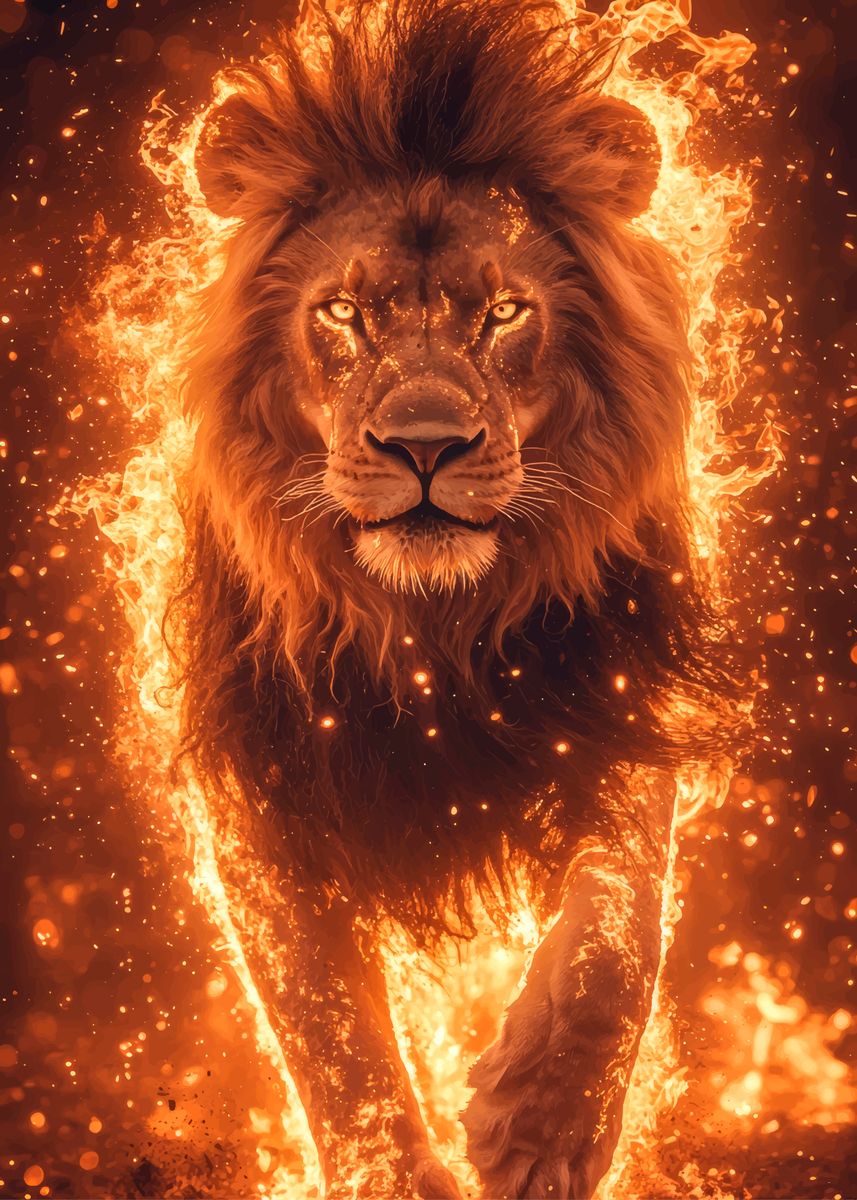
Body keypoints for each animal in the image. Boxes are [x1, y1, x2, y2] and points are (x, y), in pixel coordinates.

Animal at [175, 1, 739, 1195]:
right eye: (343, 311)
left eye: (503, 313)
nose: (426, 444)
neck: (429, 629)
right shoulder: (262, 789)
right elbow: (326, 1025)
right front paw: (393, 1171)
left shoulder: (618, 714)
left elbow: (617, 930)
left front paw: (540, 1129)